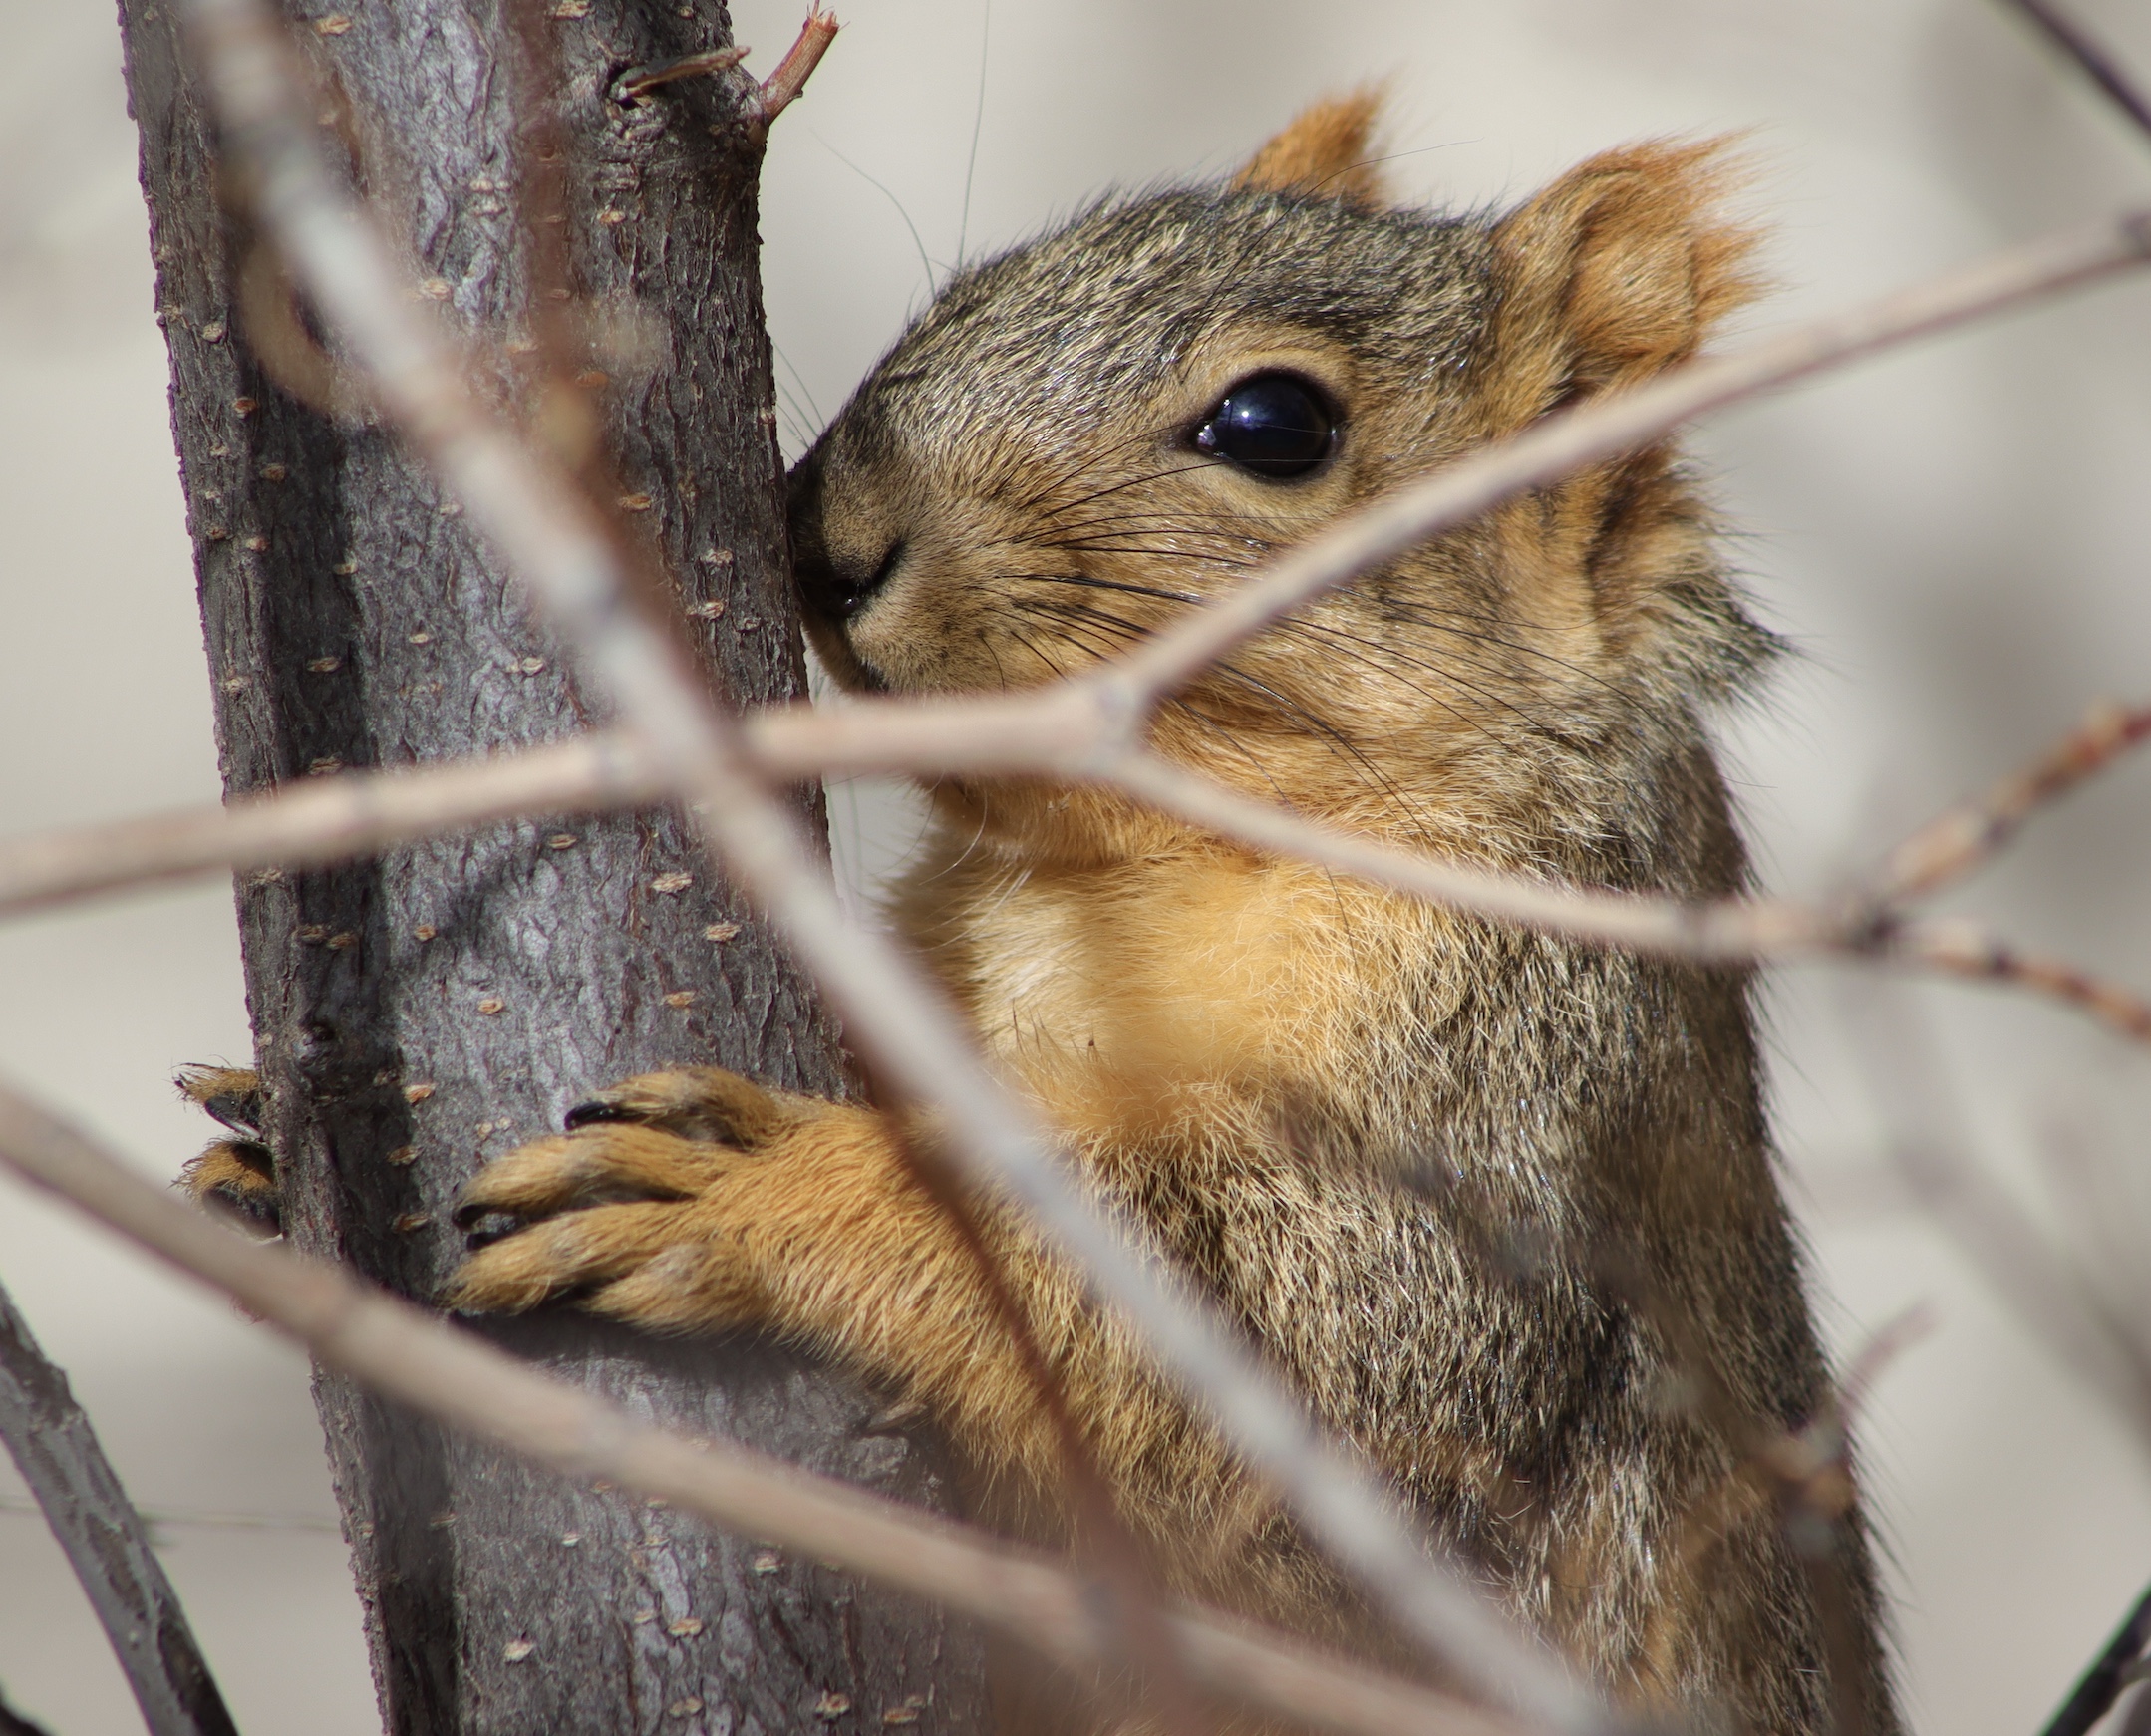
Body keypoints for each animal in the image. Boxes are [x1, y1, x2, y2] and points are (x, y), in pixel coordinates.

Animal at [186, 93, 1898, 1736]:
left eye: (1273, 424)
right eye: (968, 290)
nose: (835, 533)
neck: (1090, 870)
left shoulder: (1506, 1083)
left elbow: (1305, 1336)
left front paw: (758, 1195)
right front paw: (276, 1141)